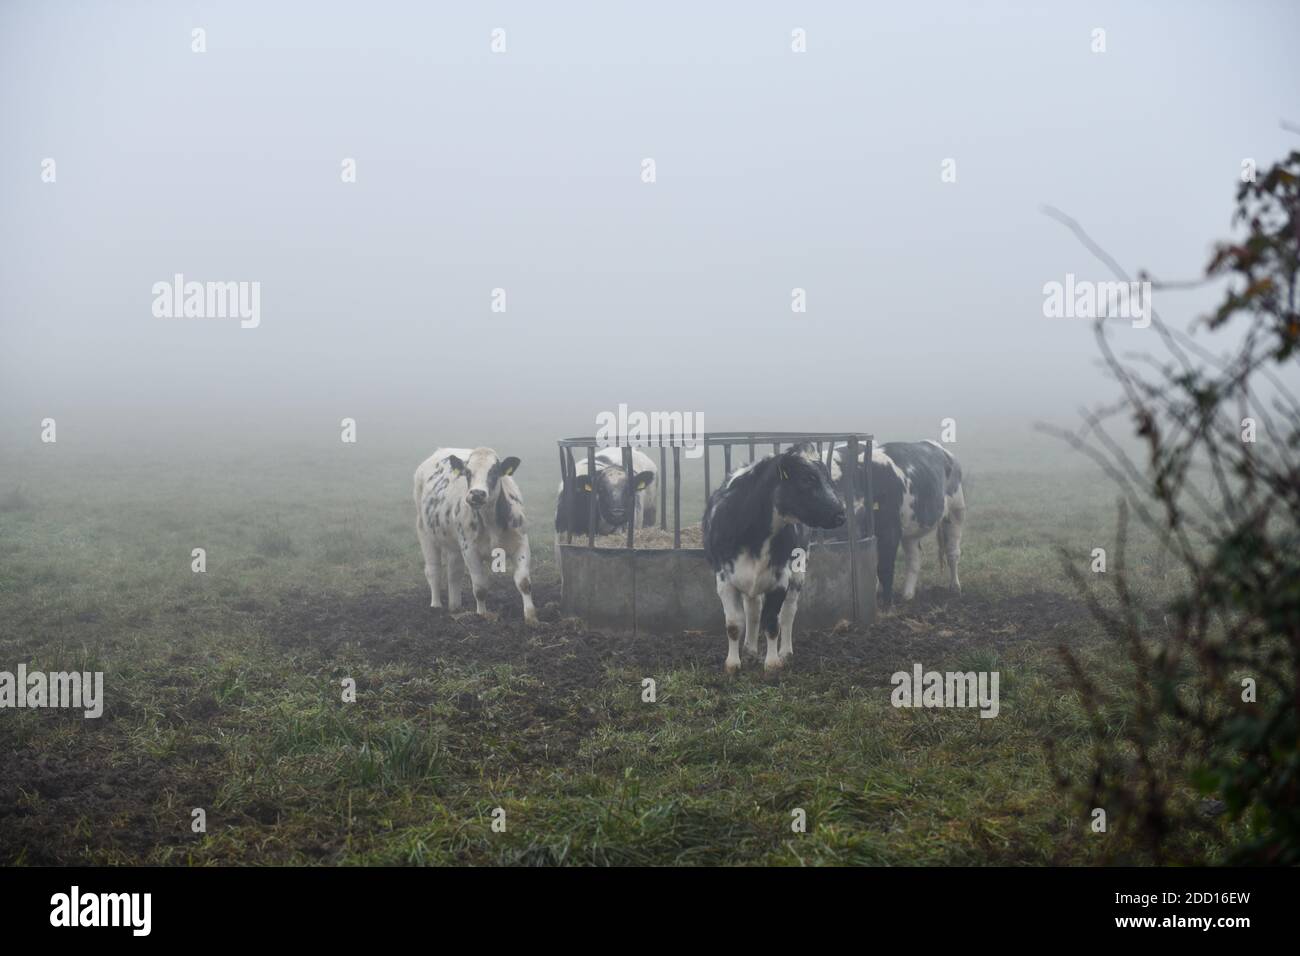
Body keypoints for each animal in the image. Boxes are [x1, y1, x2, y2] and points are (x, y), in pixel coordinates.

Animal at [413, 447, 538, 625]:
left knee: (454, 573)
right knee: (433, 570)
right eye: (467, 472)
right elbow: (479, 587)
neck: (491, 521)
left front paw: (531, 617)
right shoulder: (470, 550)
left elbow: (523, 582)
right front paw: (482, 615)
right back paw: (436, 605)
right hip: (425, 532)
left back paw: (455, 607)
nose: (477, 494)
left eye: (494, 471)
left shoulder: (521, 543)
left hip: (454, 544)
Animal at [702, 445, 846, 674]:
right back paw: (750, 650)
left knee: (787, 613)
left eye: (827, 479)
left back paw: (785, 652)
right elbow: (734, 624)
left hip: (798, 573)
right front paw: (733, 663)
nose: (840, 514)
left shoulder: (780, 579)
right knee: (752, 611)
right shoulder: (724, 580)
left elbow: (771, 622)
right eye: (807, 479)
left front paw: (772, 663)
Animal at [830, 440, 965, 607]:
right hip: (912, 531)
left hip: (956, 512)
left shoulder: (890, 531)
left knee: (953, 552)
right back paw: (908, 594)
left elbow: (885, 567)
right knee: (914, 560)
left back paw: (955, 587)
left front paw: (887, 604)